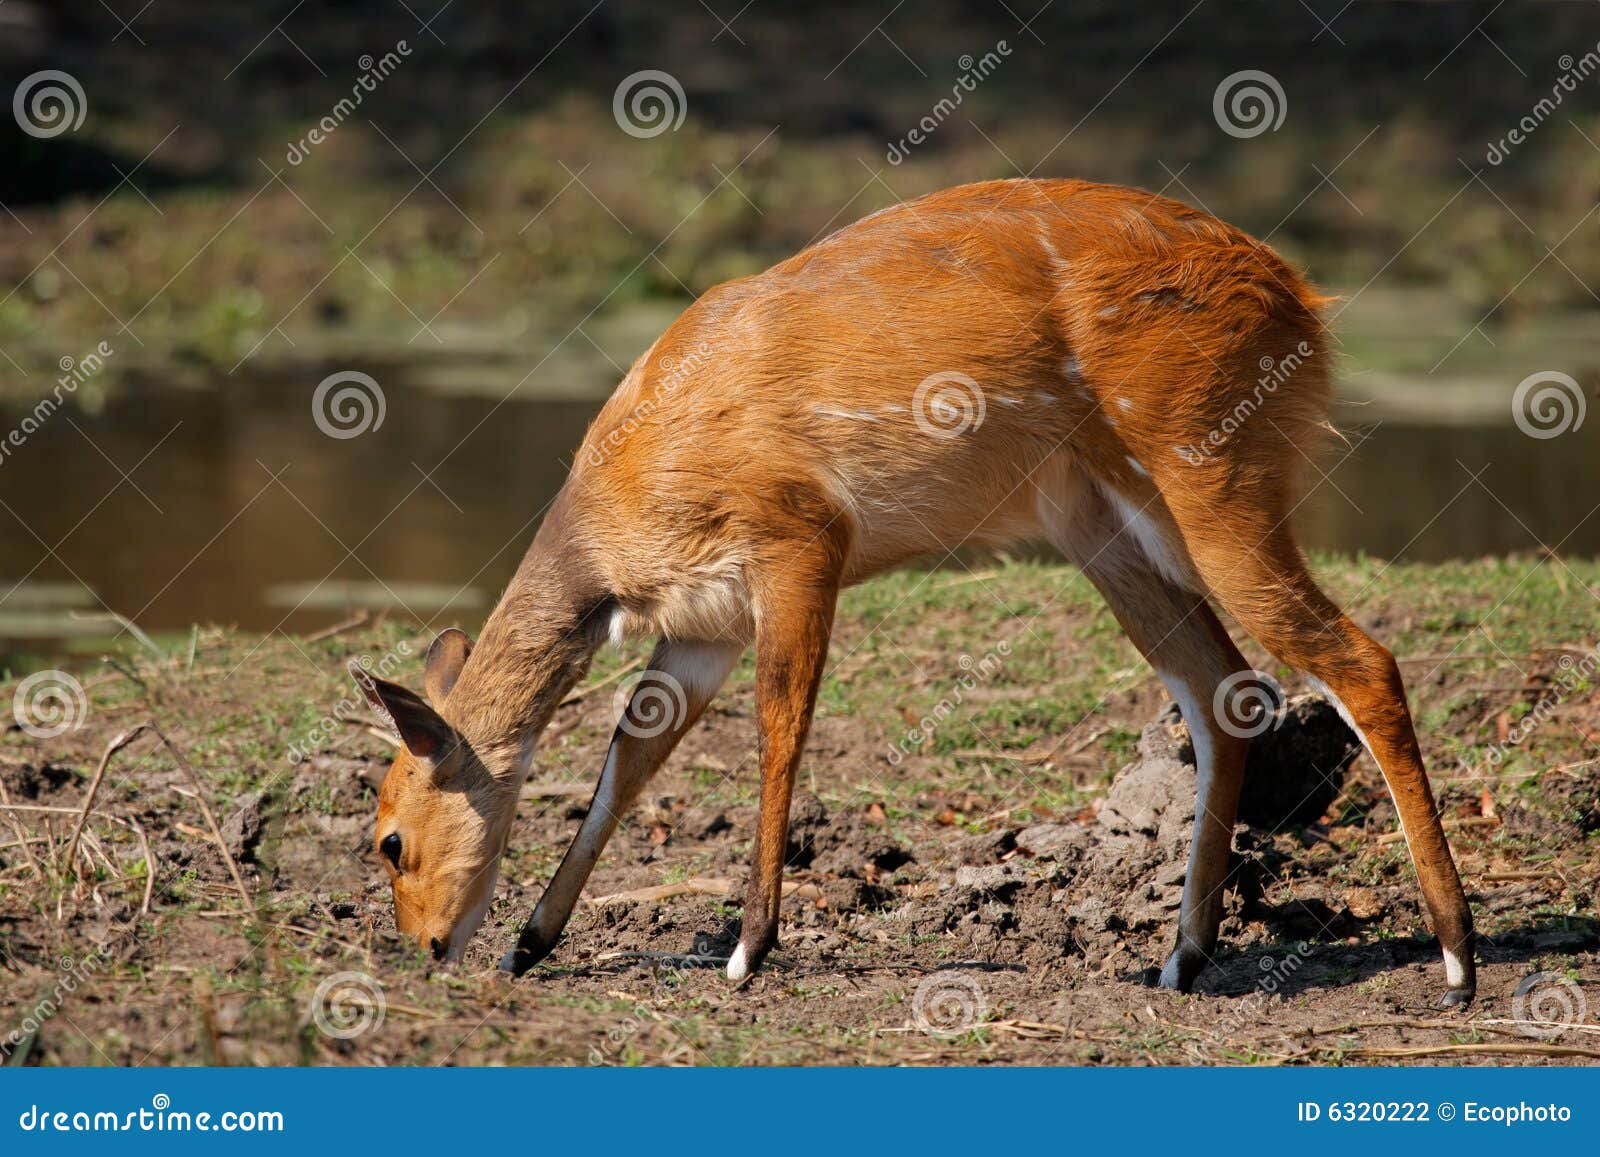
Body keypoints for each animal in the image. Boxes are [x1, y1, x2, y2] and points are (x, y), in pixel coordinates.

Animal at [350, 178, 1475, 1005]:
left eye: (389, 837)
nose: (429, 947)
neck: (616, 513)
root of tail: (1303, 300)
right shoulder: (701, 626)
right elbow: (628, 756)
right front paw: (532, 942)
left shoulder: (802, 539)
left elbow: (780, 724)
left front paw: (747, 948)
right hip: (1097, 519)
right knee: (1223, 687)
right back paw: (1180, 957)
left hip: (1215, 472)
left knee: (1358, 659)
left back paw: (1458, 958)